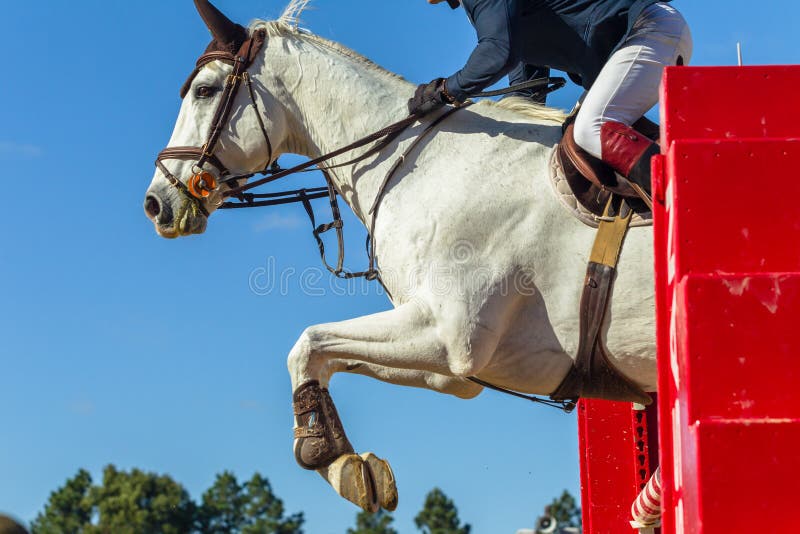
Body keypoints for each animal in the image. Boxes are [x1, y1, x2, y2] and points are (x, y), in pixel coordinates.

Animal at [143, 0, 656, 513]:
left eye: (206, 90)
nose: (156, 204)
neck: (414, 157)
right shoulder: (457, 369)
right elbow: (323, 353)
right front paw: (352, 467)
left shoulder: (450, 335)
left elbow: (307, 343)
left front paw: (327, 455)